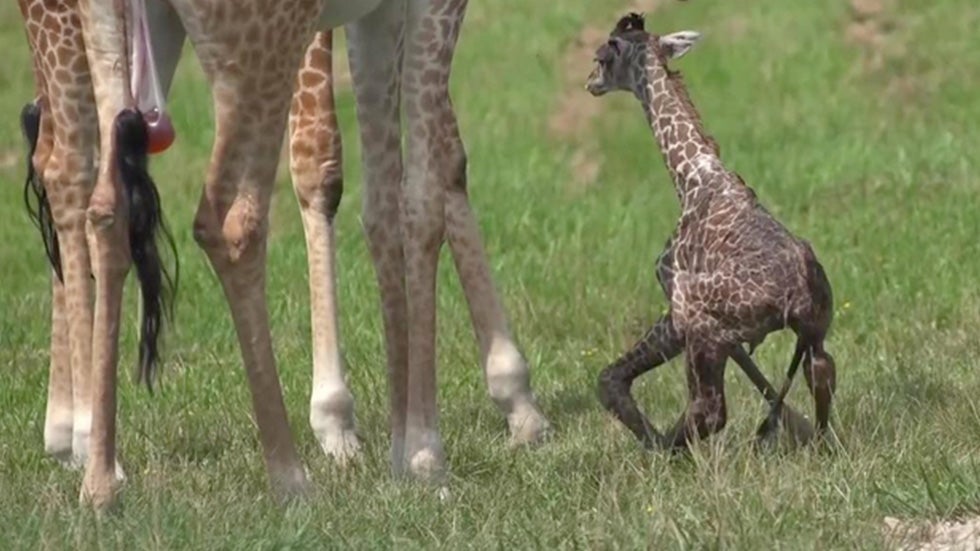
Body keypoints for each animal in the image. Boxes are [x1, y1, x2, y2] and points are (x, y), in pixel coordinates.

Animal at [19, 0, 550, 509]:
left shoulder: (376, 14)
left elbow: (391, 194)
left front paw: (412, 440)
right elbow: (398, 183)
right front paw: (412, 448)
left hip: (123, 41)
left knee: (92, 188)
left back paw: (94, 470)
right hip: (247, 52)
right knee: (210, 214)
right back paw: (285, 478)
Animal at [585, 13, 837, 451]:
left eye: (602, 57)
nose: (590, 83)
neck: (690, 175)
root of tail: (801, 291)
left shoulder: (678, 302)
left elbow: (610, 378)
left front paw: (652, 444)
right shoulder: (716, 329)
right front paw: (791, 427)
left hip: (703, 322)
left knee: (710, 409)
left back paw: (669, 453)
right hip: (815, 332)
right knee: (821, 374)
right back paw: (820, 444)